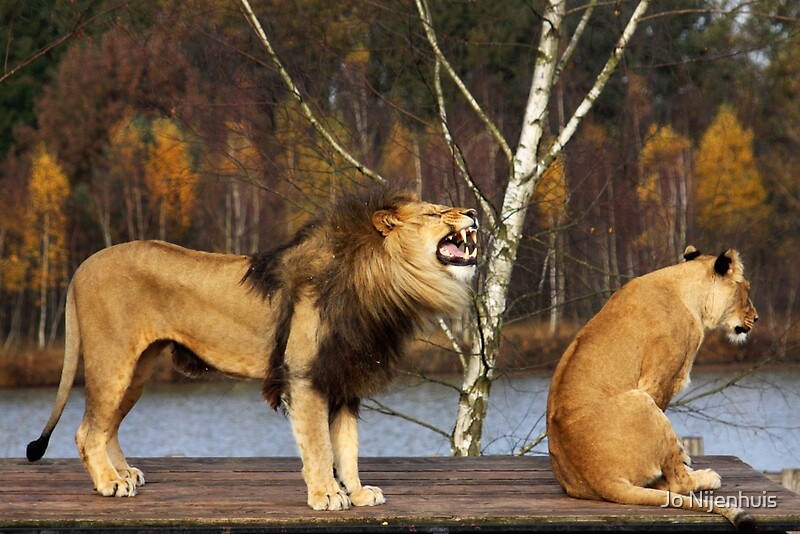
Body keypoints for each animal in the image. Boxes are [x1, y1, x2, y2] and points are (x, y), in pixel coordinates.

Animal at [27, 188, 478, 511]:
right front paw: (327, 495)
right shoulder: (305, 377)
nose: (473, 212)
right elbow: (319, 444)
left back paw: (124, 474)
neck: (377, 278)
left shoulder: (342, 378)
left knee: (109, 427)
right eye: (437, 213)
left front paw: (358, 492)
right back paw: (109, 484)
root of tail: (82, 266)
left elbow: (347, 447)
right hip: (113, 361)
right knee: (88, 430)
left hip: (137, 368)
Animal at [546, 247, 759, 531]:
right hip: (640, 401)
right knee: (679, 485)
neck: (685, 288)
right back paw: (705, 477)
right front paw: (685, 461)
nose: (756, 318)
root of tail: (598, 478)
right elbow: (673, 454)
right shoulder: (658, 380)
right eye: (745, 289)